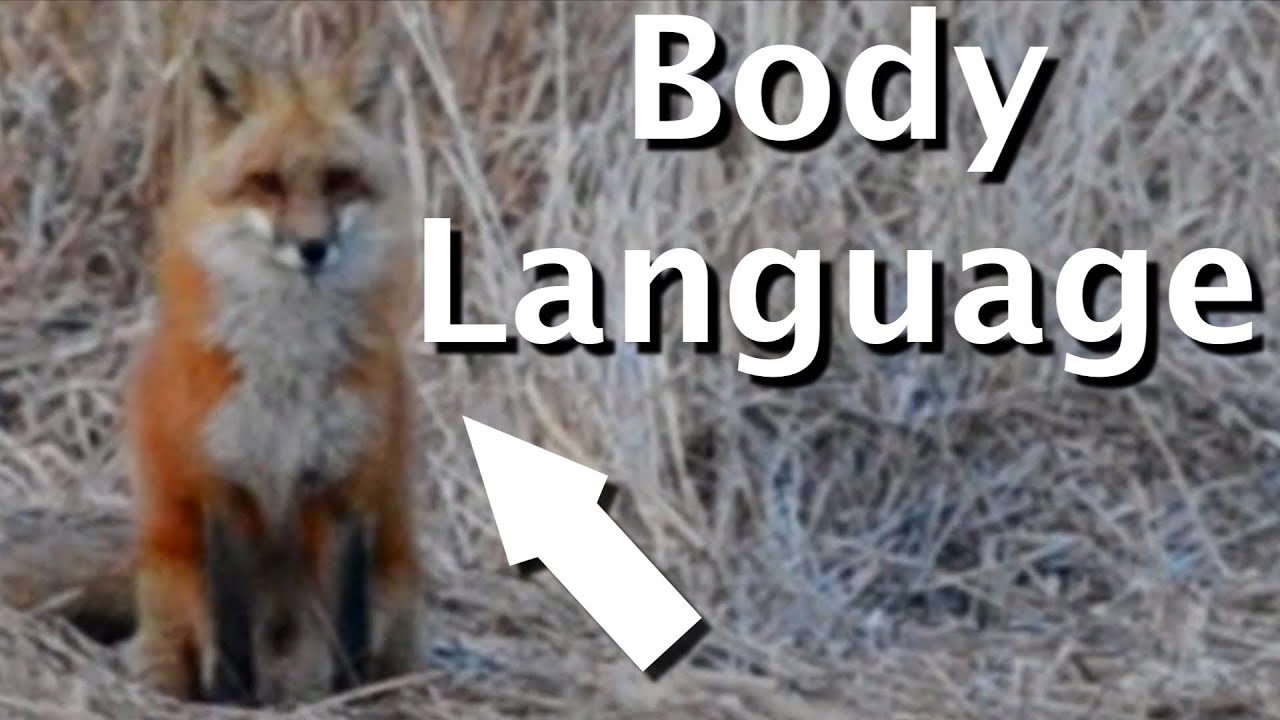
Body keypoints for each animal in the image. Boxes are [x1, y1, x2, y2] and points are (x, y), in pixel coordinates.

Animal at [104, 33, 425, 706]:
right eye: (267, 183)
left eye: (339, 181)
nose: (313, 249)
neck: (288, 371)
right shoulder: (221, 482)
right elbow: (229, 626)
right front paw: (231, 699)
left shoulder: (347, 482)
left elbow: (348, 625)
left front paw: (348, 697)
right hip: (174, 584)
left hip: (392, 592)